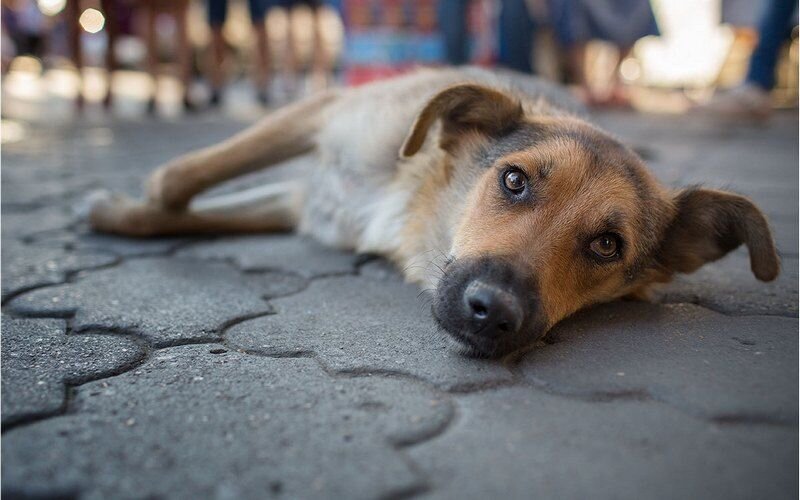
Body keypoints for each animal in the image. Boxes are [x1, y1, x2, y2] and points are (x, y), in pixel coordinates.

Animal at [86, 66, 776, 358]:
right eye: (514, 180)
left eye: (608, 245)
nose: (492, 313)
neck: (410, 208)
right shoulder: (322, 115)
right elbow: (184, 174)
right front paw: (128, 205)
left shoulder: (301, 203)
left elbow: (188, 198)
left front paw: (123, 209)